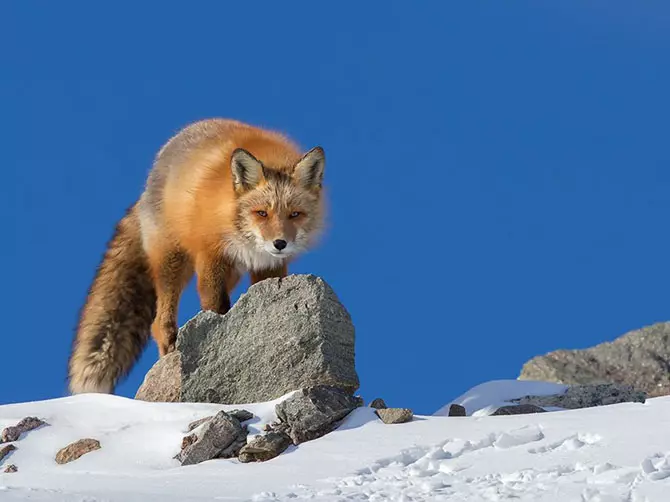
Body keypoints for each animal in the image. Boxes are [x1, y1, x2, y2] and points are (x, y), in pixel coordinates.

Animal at [69, 118, 328, 396]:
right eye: (261, 213)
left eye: (295, 214)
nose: (279, 243)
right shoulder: (210, 255)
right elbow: (215, 304)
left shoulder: (269, 266)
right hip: (174, 262)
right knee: (159, 322)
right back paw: (170, 355)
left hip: (231, 272)